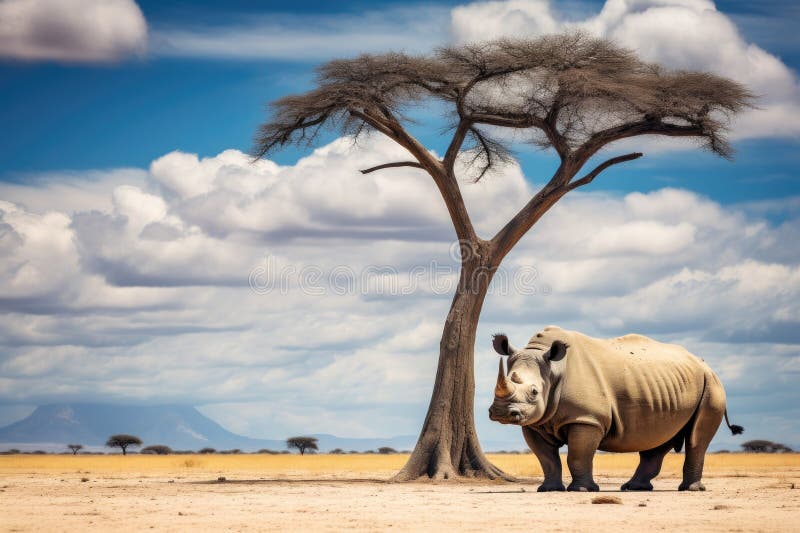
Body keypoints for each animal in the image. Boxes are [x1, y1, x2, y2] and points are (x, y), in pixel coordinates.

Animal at [488, 326, 743, 492]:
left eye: (534, 392)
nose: (501, 413)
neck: (553, 370)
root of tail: (704, 364)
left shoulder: (587, 419)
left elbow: (577, 455)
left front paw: (582, 491)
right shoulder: (536, 422)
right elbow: (546, 458)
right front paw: (548, 489)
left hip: (712, 386)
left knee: (696, 439)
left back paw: (690, 489)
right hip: (667, 388)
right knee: (659, 437)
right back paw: (634, 488)